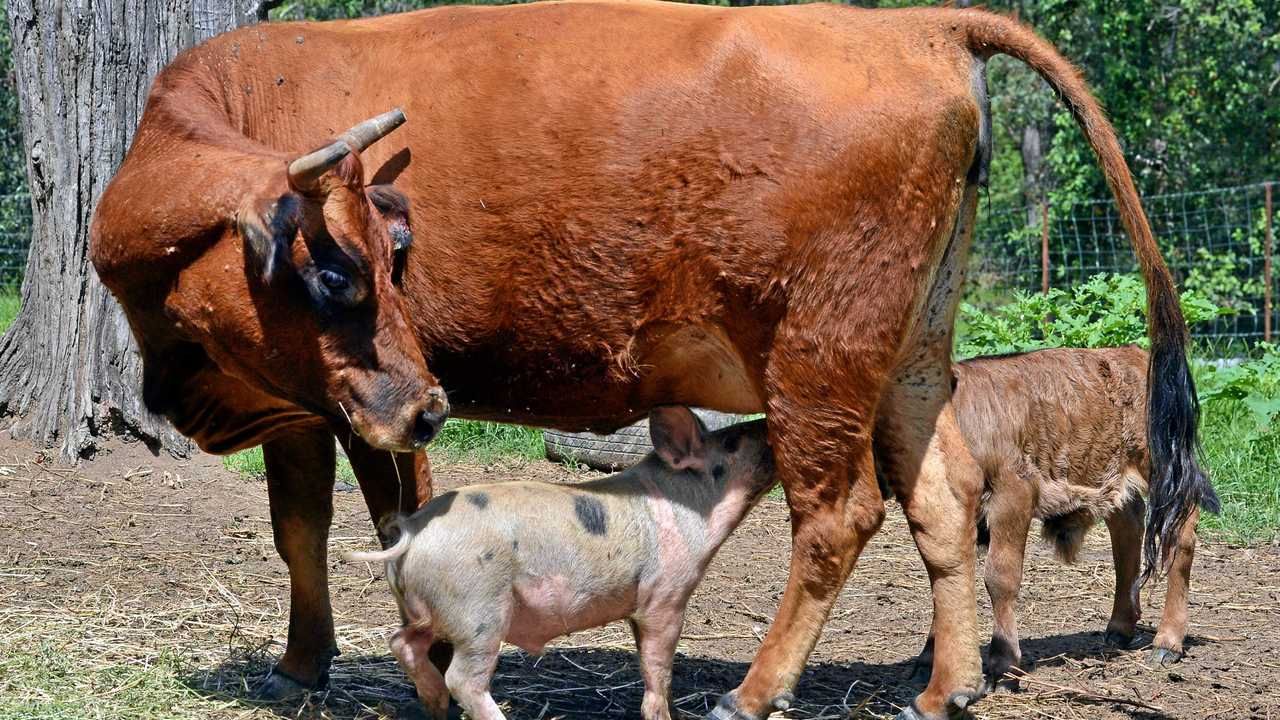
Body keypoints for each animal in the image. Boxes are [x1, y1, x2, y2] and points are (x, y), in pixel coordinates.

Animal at [950, 347, 1214, 683]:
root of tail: (1135, 353)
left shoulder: (1012, 496)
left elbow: (999, 577)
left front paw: (1002, 665)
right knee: (1128, 526)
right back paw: (1120, 628)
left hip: (1160, 465)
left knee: (1180, 531)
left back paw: (1167, 642)